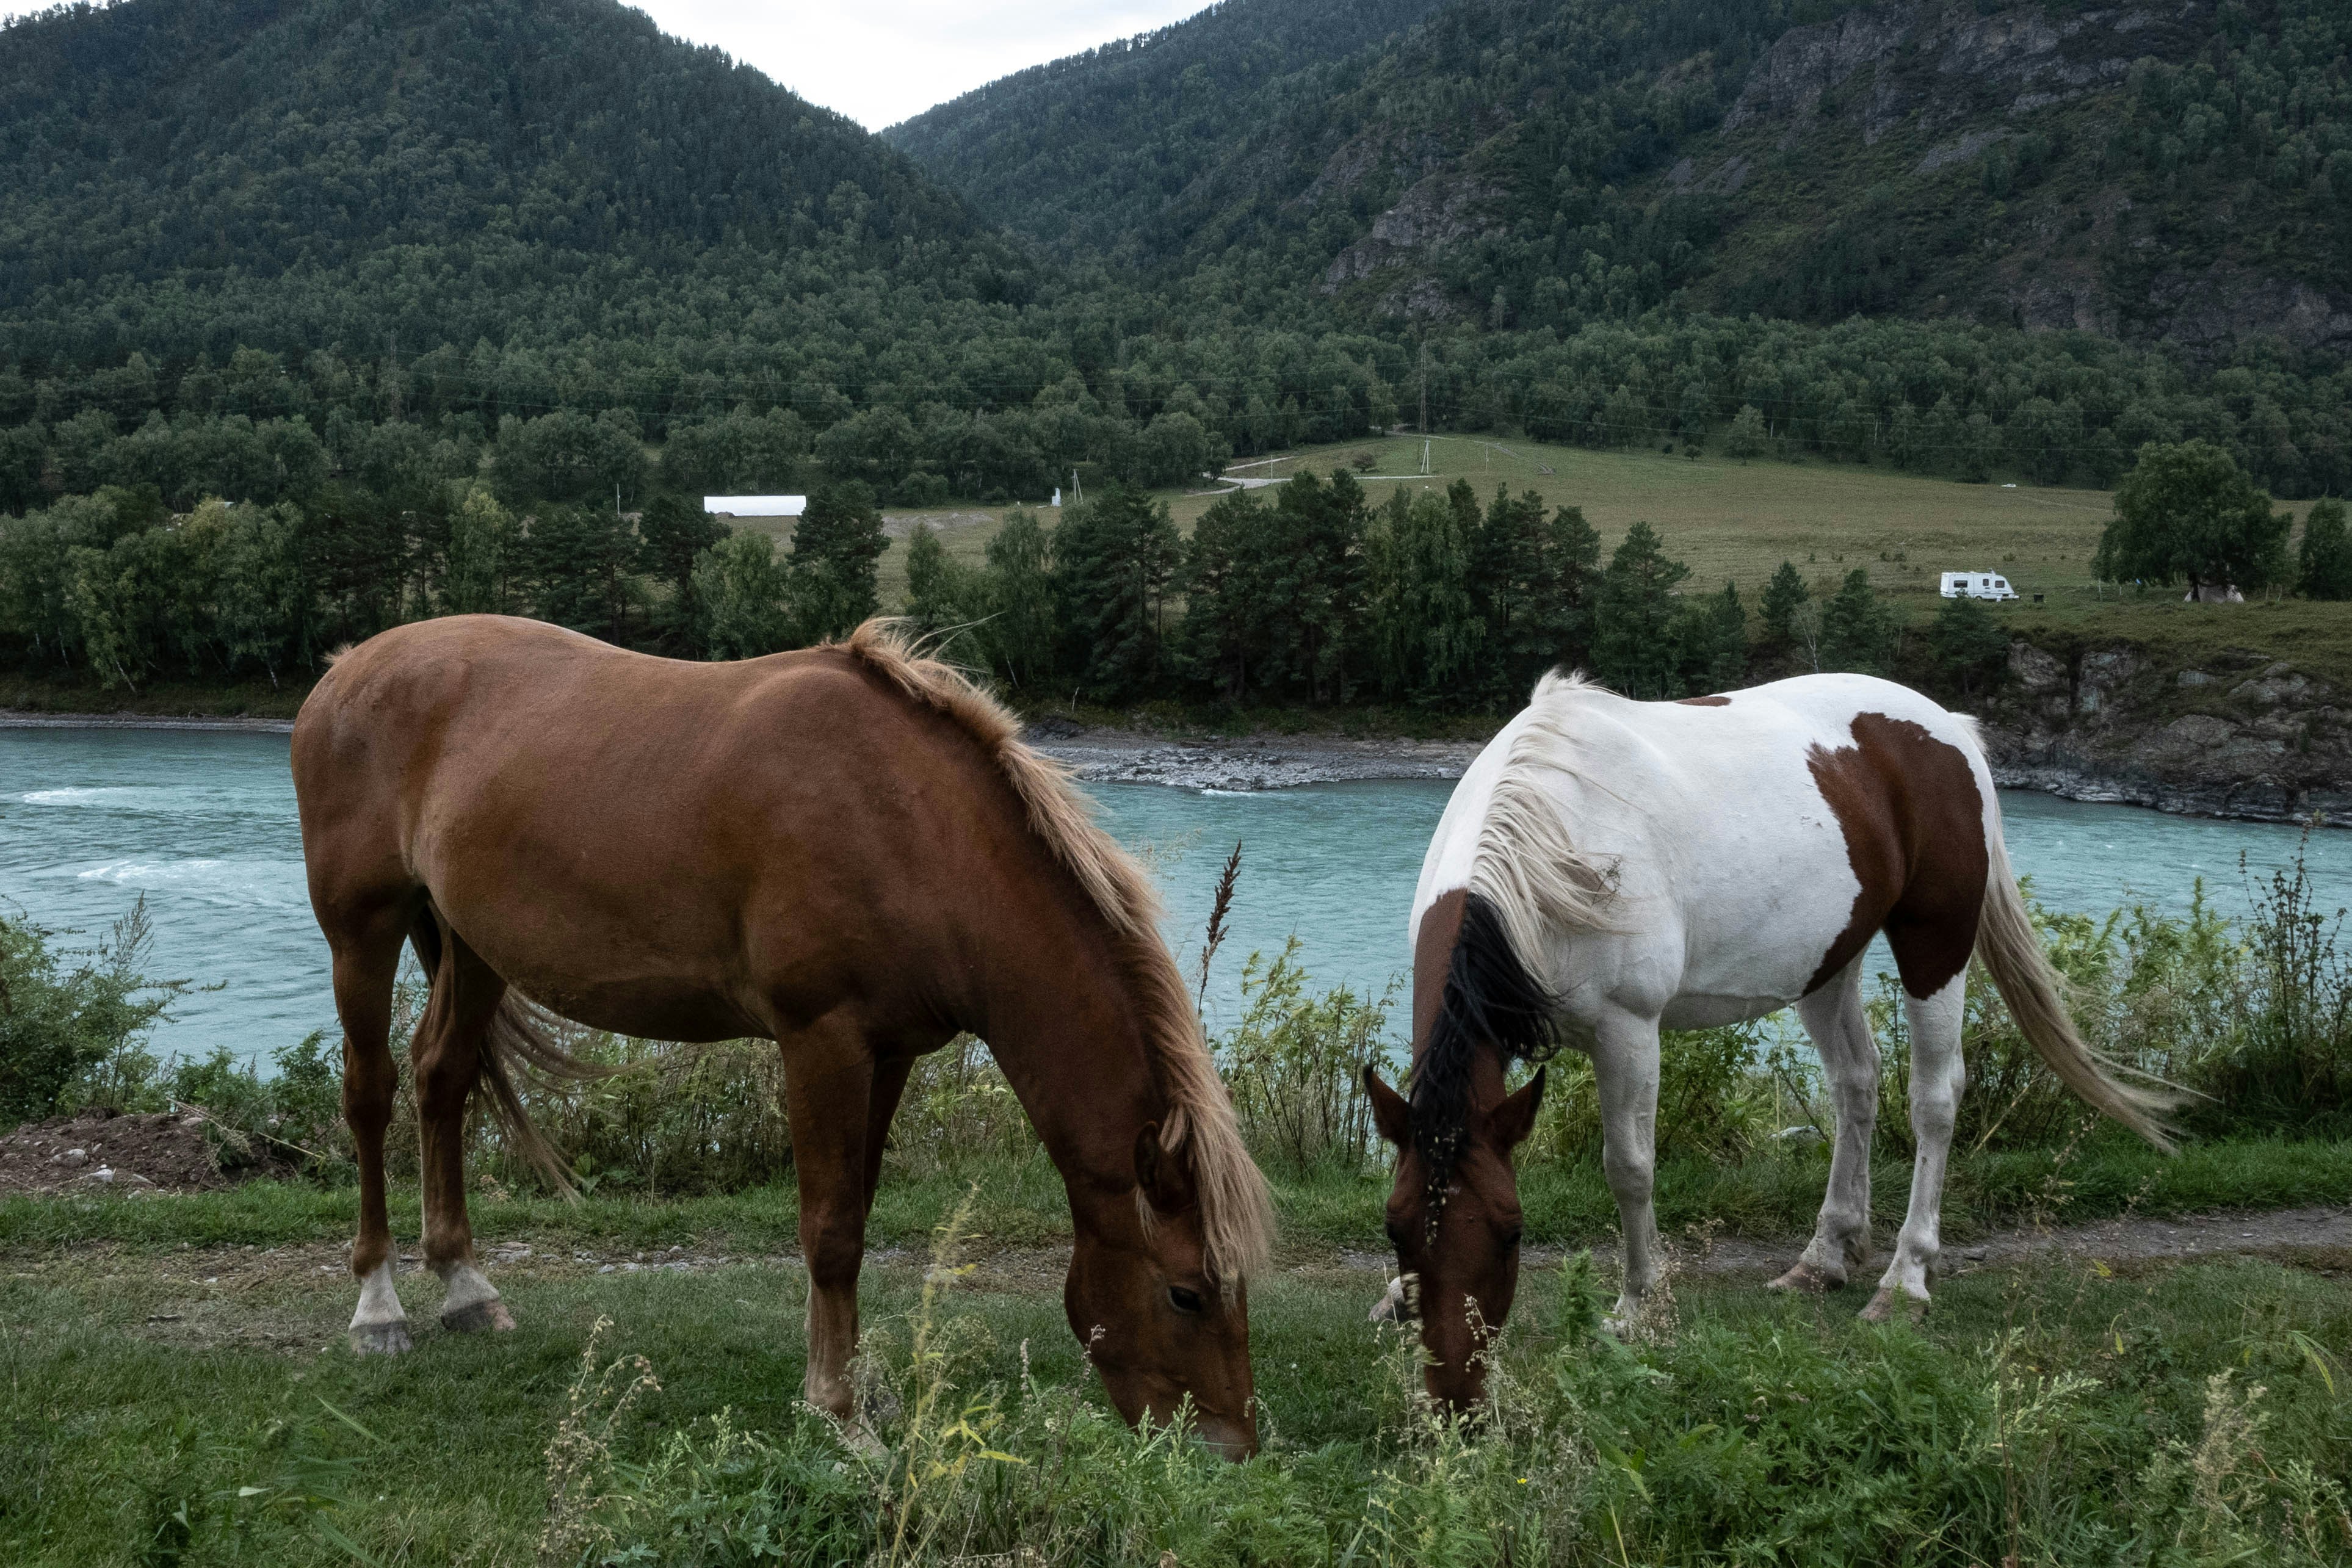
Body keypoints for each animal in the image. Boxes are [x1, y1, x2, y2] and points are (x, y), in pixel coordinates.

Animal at [292, 615, 1274, 1456]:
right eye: (1186, 1293)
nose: (1230, 1446)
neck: (908, 824)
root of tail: (345, 667)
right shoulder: (821, 1040)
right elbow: (831, 1231)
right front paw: (840, 1415)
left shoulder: (887, 1052)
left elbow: (856, 1213)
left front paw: (856, 1386)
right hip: (362, 929)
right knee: (371, 1096)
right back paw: (379, 1306)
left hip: (472, 945)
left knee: (442, 1077)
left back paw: (465, 1287)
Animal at [1364, 670, 2181, 1407]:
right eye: (1396, 1229)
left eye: (1510, 1233)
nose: (1455, 1397)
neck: (1551, 837)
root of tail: (1946, 729)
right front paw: (1395, 1297)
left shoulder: (1627, 1029)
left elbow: (1628, 1168)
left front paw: (1637, 1305)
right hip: (1827, 963)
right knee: (1856, 1082)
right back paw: (1824, 1255)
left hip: (1935, 943)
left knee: (1934, 1099)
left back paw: (1903, 1280)